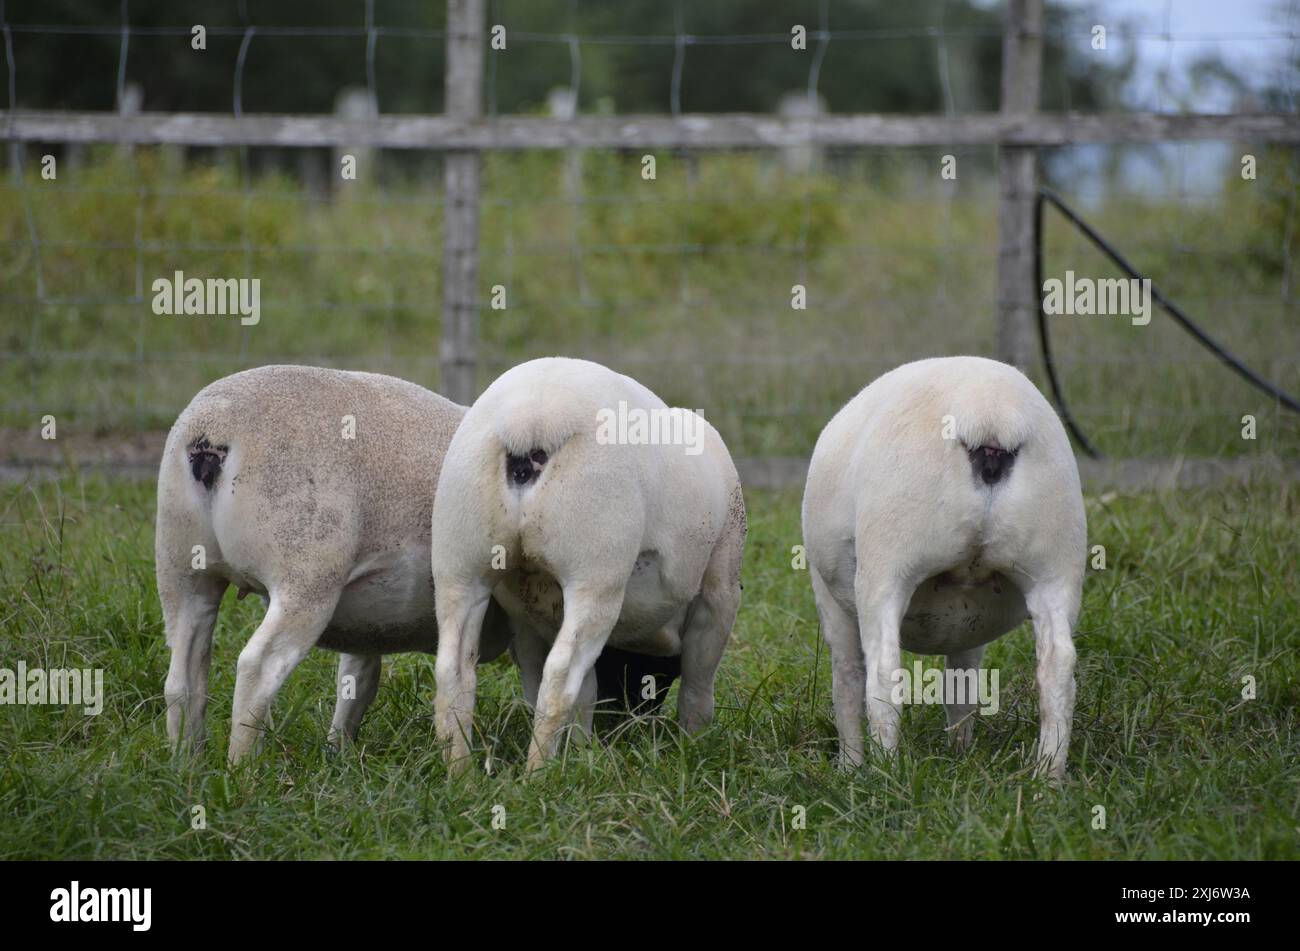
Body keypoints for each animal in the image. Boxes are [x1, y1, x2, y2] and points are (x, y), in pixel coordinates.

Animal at [155, 365, 520, 762]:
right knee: (258, 667)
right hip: (308, 572)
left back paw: (186, 763)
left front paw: (339, 755)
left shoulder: (370, 623)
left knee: (182, 676)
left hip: (181, 566)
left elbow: (358, 682)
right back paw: (242, 766)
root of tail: (212, 432)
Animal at [429, 357, 747, 774]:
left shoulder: (530, 619)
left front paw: (581, 751)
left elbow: (583, 690)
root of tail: (530, 421)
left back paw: (460, 771)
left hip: (460, 564)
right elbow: (697, 683)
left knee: (454, 671)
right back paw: (537, 773)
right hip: (595, 570)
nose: (632, 718)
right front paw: (693, 746)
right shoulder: (719, 591)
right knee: (560, 677)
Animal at [801, 356, 1086, 782]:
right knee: (1058, 668)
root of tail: (990, 416)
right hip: (1055, 563)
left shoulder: (830, 597)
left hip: (888, 560)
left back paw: (885, 772)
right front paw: (959, 755)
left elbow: (847, 680)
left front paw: (850, 766)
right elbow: (962, 687)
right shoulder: (971, 628)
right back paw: (1048, 775)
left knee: (884, 673)